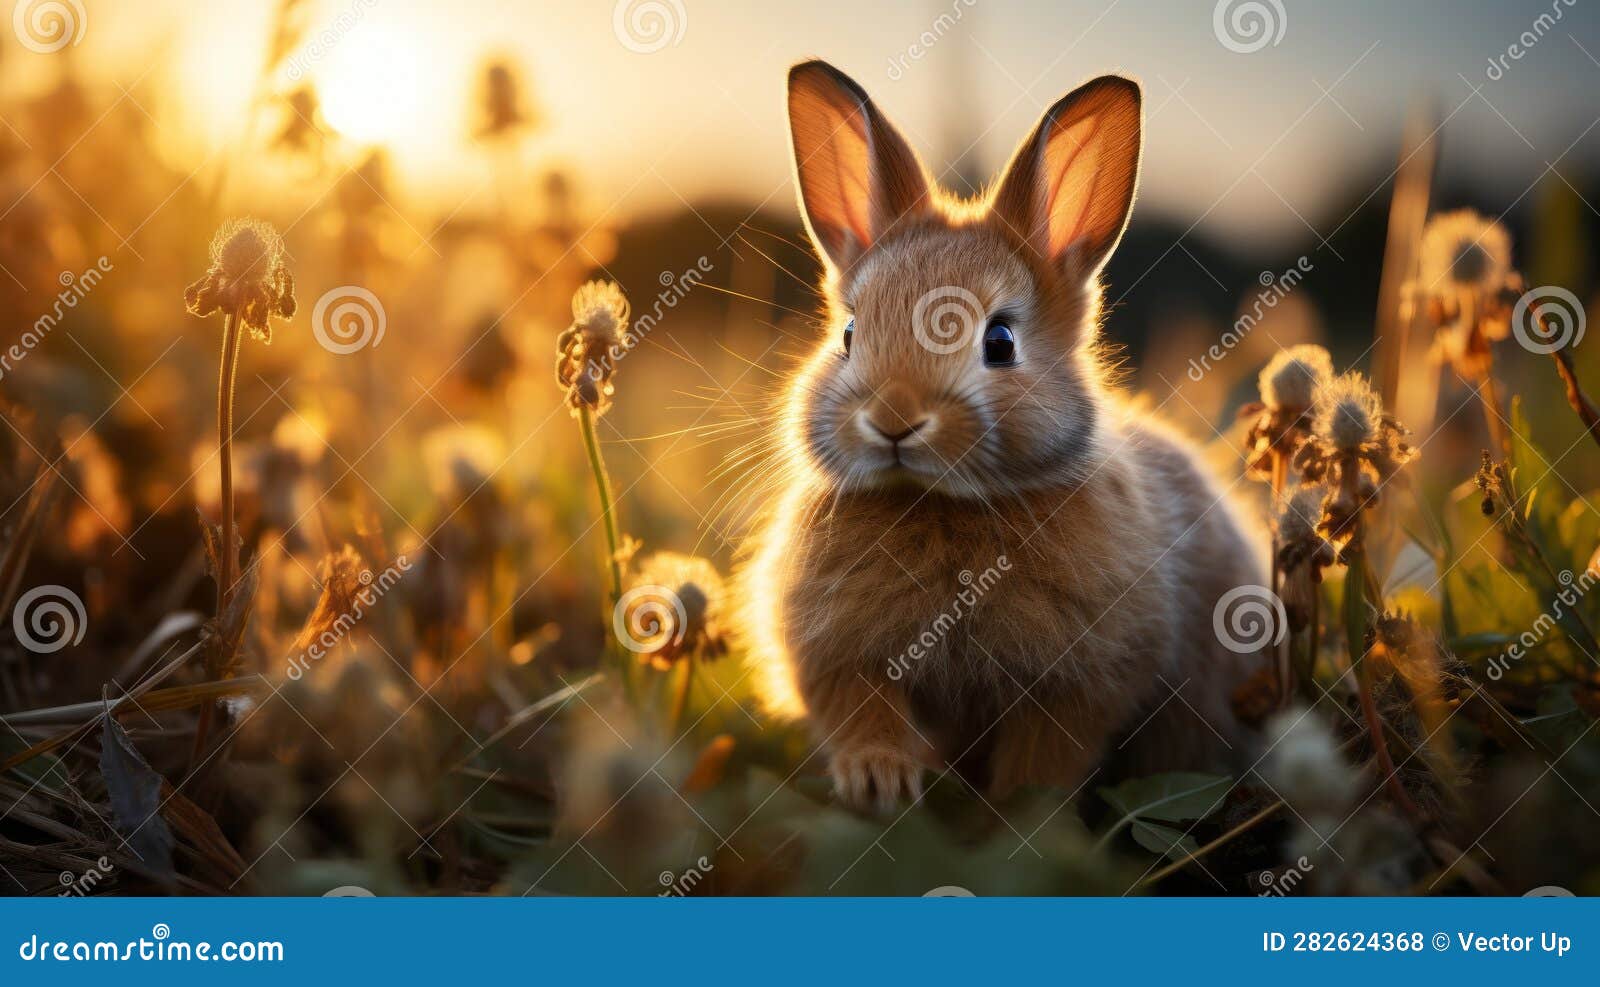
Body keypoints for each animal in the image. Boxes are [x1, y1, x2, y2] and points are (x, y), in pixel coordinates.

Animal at [737, 60, 1269, 814]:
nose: (893, 419)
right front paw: (880, 781)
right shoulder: (838, 653)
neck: (938, 501)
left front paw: (1019, 816)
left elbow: (1045, 754)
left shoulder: (1081, 679)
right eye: (848, 335)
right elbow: (859, 711)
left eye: (1000, 341)